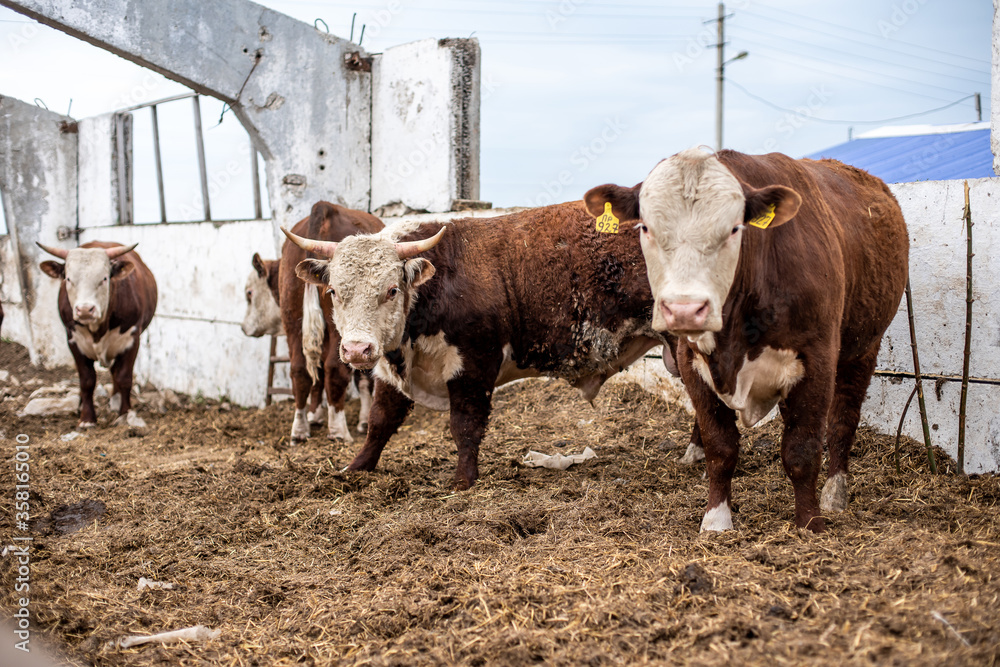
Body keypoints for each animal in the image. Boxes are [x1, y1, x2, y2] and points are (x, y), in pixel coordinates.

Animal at [37, 241, 158, 429]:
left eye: (104, 278)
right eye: (68, 279)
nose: (85, 309)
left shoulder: (132, 339)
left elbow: (124, 377)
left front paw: (125, 413)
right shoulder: (73, 341)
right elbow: (86, 380)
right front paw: (87, 418)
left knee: (116, 371)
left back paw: (115, 401)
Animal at [277, 202, 383, 443]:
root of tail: (325, 208)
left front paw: (315, 415)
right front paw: (364, 420)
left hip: (291, 315)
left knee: (301, 369)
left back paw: (300, 429)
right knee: (335, 369)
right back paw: (338, 430)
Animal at [585, 148, 909, 533]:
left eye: (734, 228)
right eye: (645, 227)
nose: (684, 309)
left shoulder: (817, 359)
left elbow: (802, 448)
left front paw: (809, 523)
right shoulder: (692, 364)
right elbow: (720, 447)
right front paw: (716, 519)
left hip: (863, 347)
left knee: (844, 419)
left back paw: (834, 494)